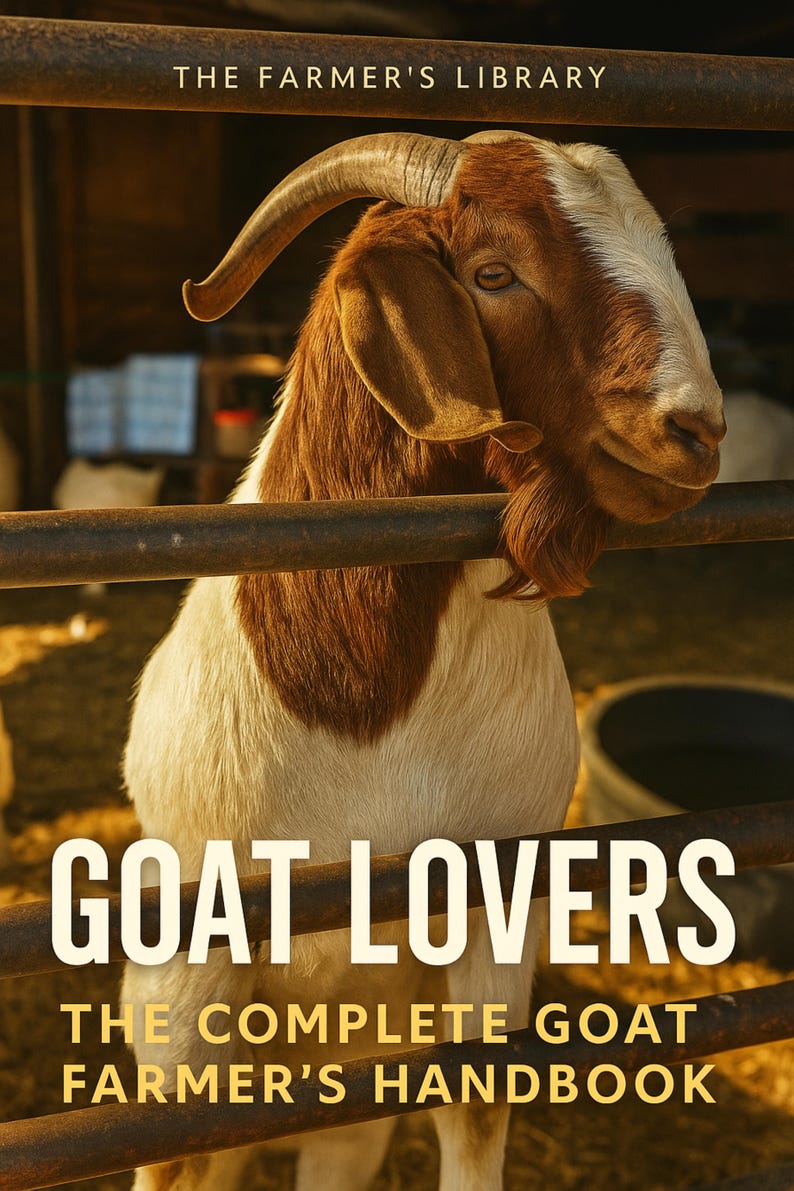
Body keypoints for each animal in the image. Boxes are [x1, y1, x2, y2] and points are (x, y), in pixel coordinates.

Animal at [122, 131, 725, 1190]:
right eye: (494, 273)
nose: (695, 429)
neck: (366, 710)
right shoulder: (190, 973)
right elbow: (171, 1148)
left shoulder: (493, 921)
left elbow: (475, 1113)